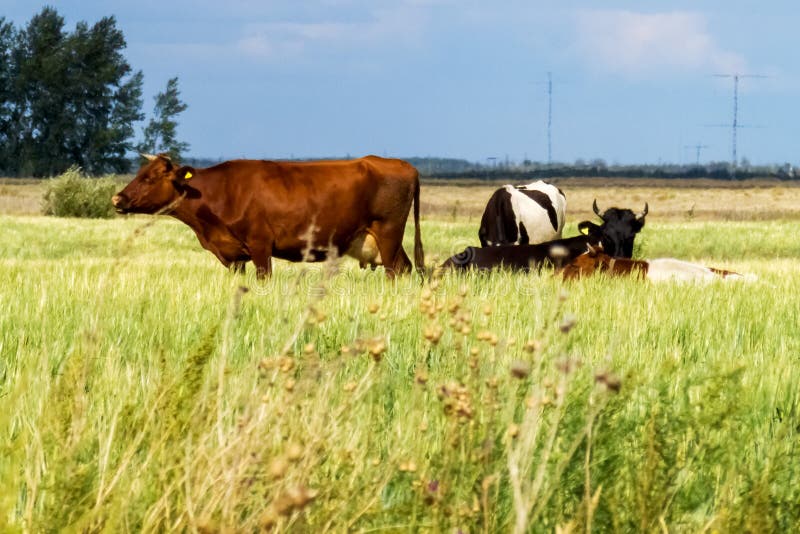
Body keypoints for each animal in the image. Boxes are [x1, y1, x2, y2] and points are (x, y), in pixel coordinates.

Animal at [112, 154, 424, 278]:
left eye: (150, 177)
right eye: (139, 173)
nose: (118, 198)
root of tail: (402, 164)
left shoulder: (260, 245)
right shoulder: (234, 256)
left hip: (388, 233)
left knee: (395, 272)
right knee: (406, 268)